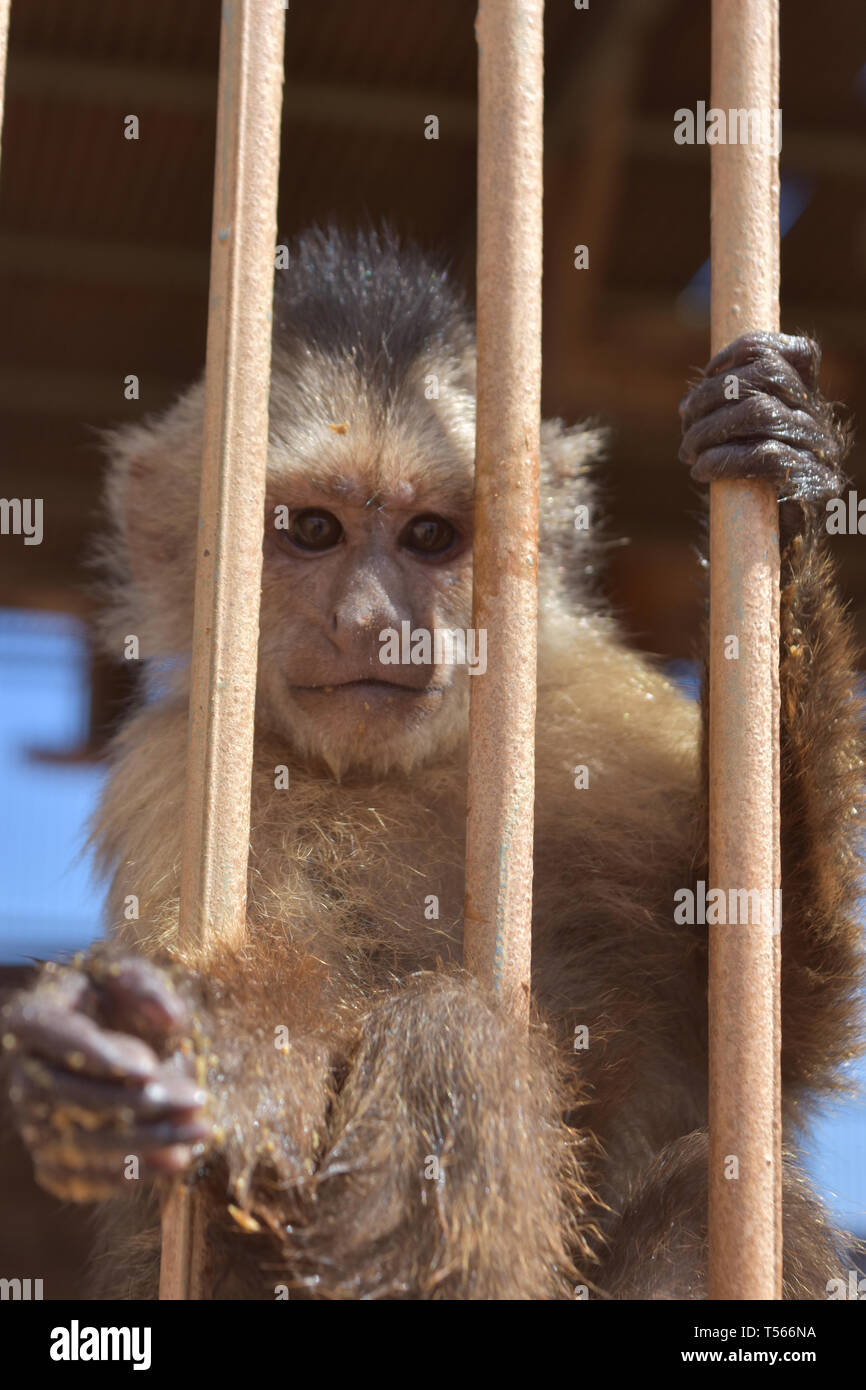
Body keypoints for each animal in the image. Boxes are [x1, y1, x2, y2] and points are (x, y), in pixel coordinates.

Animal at [3, 226, 862, 1300]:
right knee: (458, 1033)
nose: (375, 622)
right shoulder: (169, 771)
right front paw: (185, 1052)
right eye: (313, 529)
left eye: (429, 536)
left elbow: (768, 1026)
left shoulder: (597, 712)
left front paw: (789, 477)